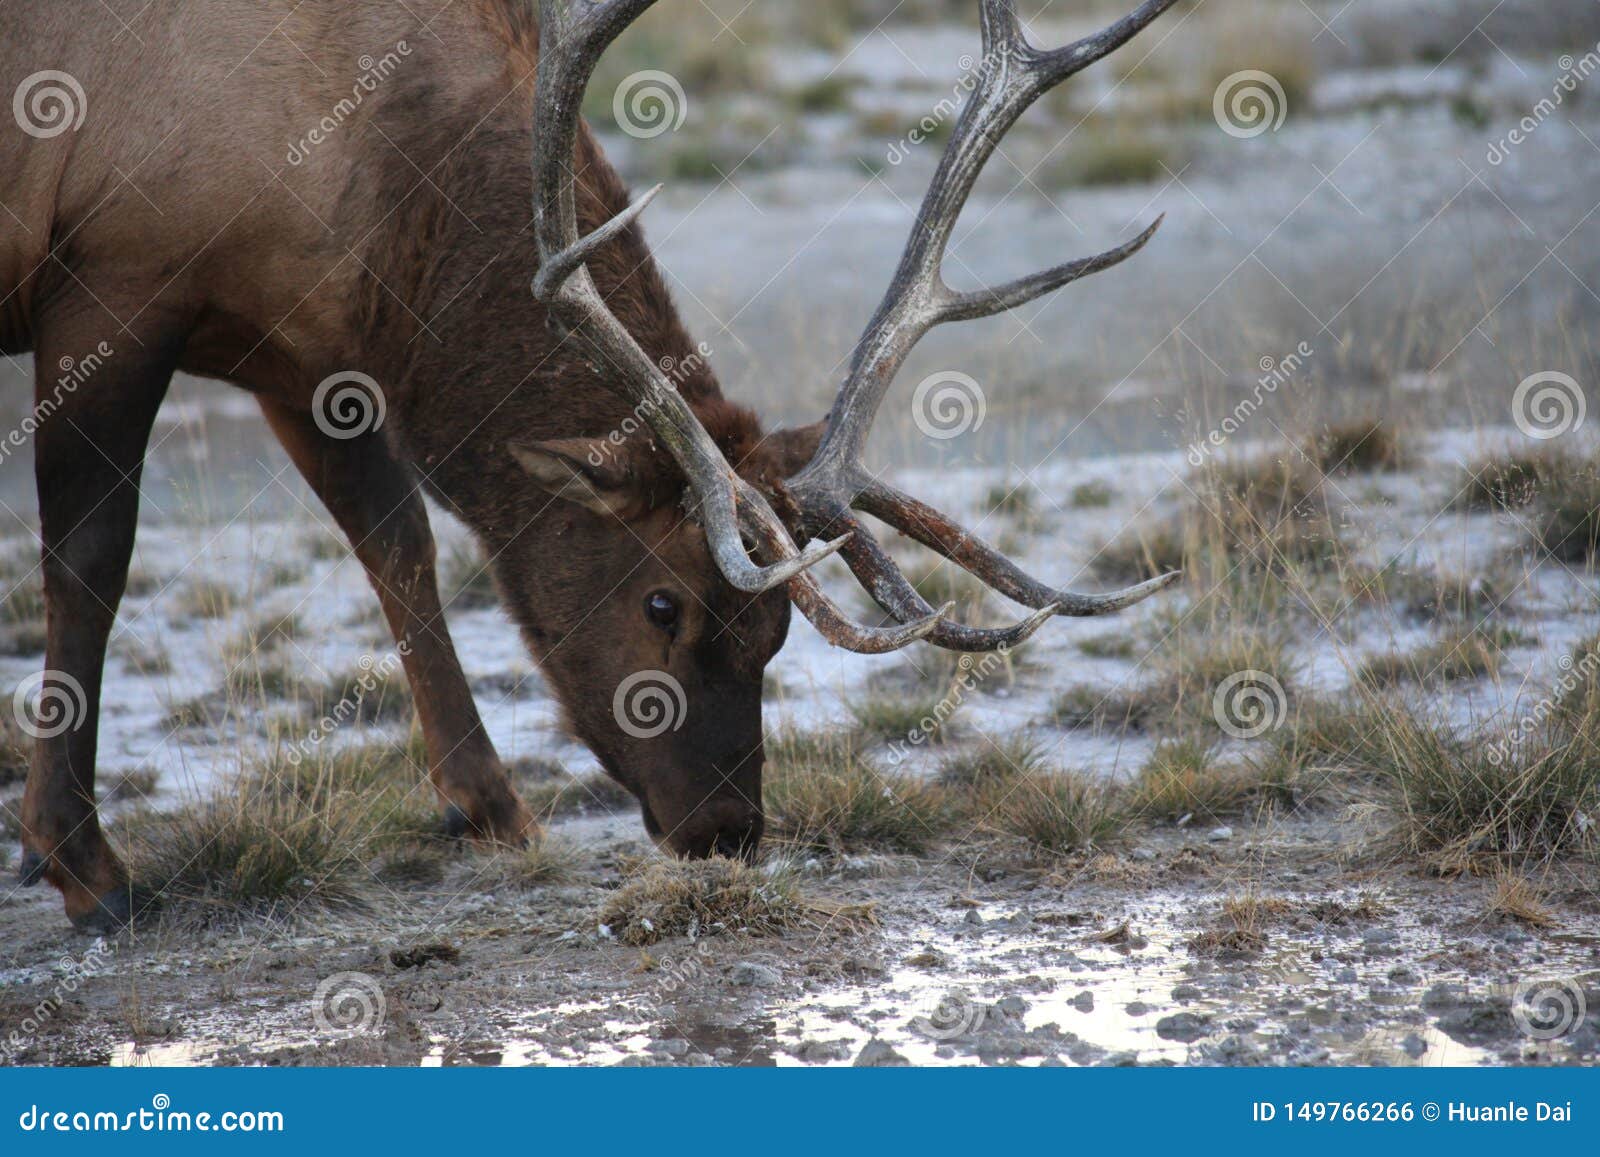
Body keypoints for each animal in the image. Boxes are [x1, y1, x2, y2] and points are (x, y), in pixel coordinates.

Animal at [0, 0, 1182, 931]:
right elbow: (88, 557)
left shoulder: (304, 349)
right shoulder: (116, 276)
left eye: (778, 628)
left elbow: (397, 540)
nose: (727, 830)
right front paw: (82, 864)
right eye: (664, 603)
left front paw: (491, 807)